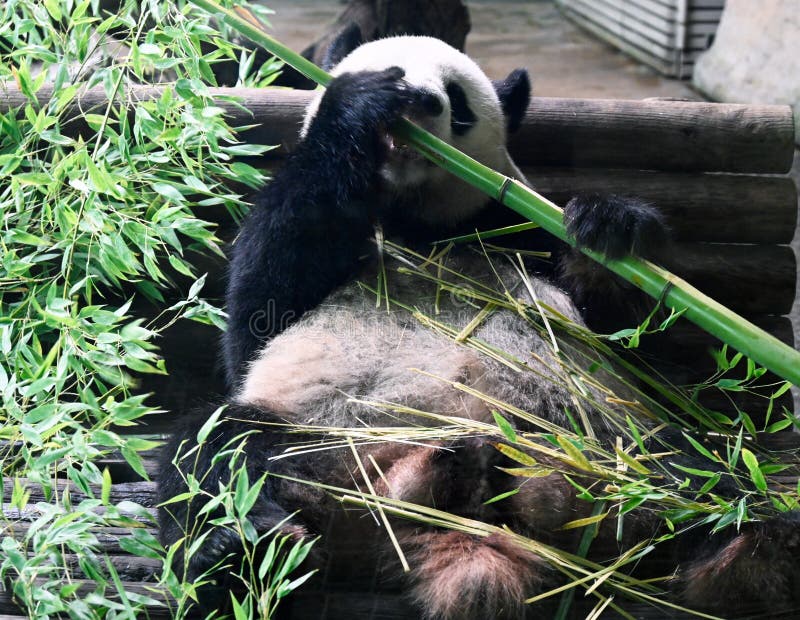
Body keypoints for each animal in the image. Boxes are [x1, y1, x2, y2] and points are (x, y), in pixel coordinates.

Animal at [158, 32, 800, 619]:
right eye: (392, 71)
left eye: (458, 98)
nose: (420, 102)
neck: (418, 223)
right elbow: (260, 311)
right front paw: (357, 107)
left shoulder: (516, 224)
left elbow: (634, 339)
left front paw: (611, 229)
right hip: (319, 439)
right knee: (216, 453)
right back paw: (239, 551)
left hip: (611, 439)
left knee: (706, 469)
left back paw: (748, 553)